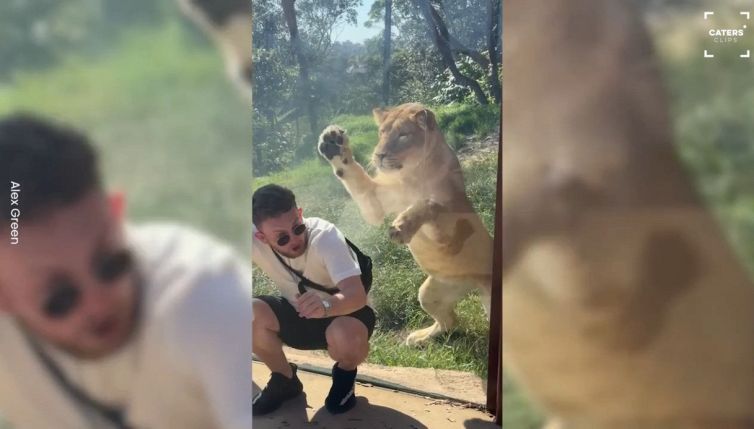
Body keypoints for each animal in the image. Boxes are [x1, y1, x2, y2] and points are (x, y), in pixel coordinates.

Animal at [317, 102, 494, 345]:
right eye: (382, 132)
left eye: (403, 135)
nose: (379, 155)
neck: (409, 175)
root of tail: (472, 286)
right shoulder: (374, 204)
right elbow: (354, 176)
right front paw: (333, 144)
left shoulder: (452, 225)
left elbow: (427, 203)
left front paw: (401, 227)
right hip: (431, 291)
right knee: (450, 321)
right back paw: (420, 338)